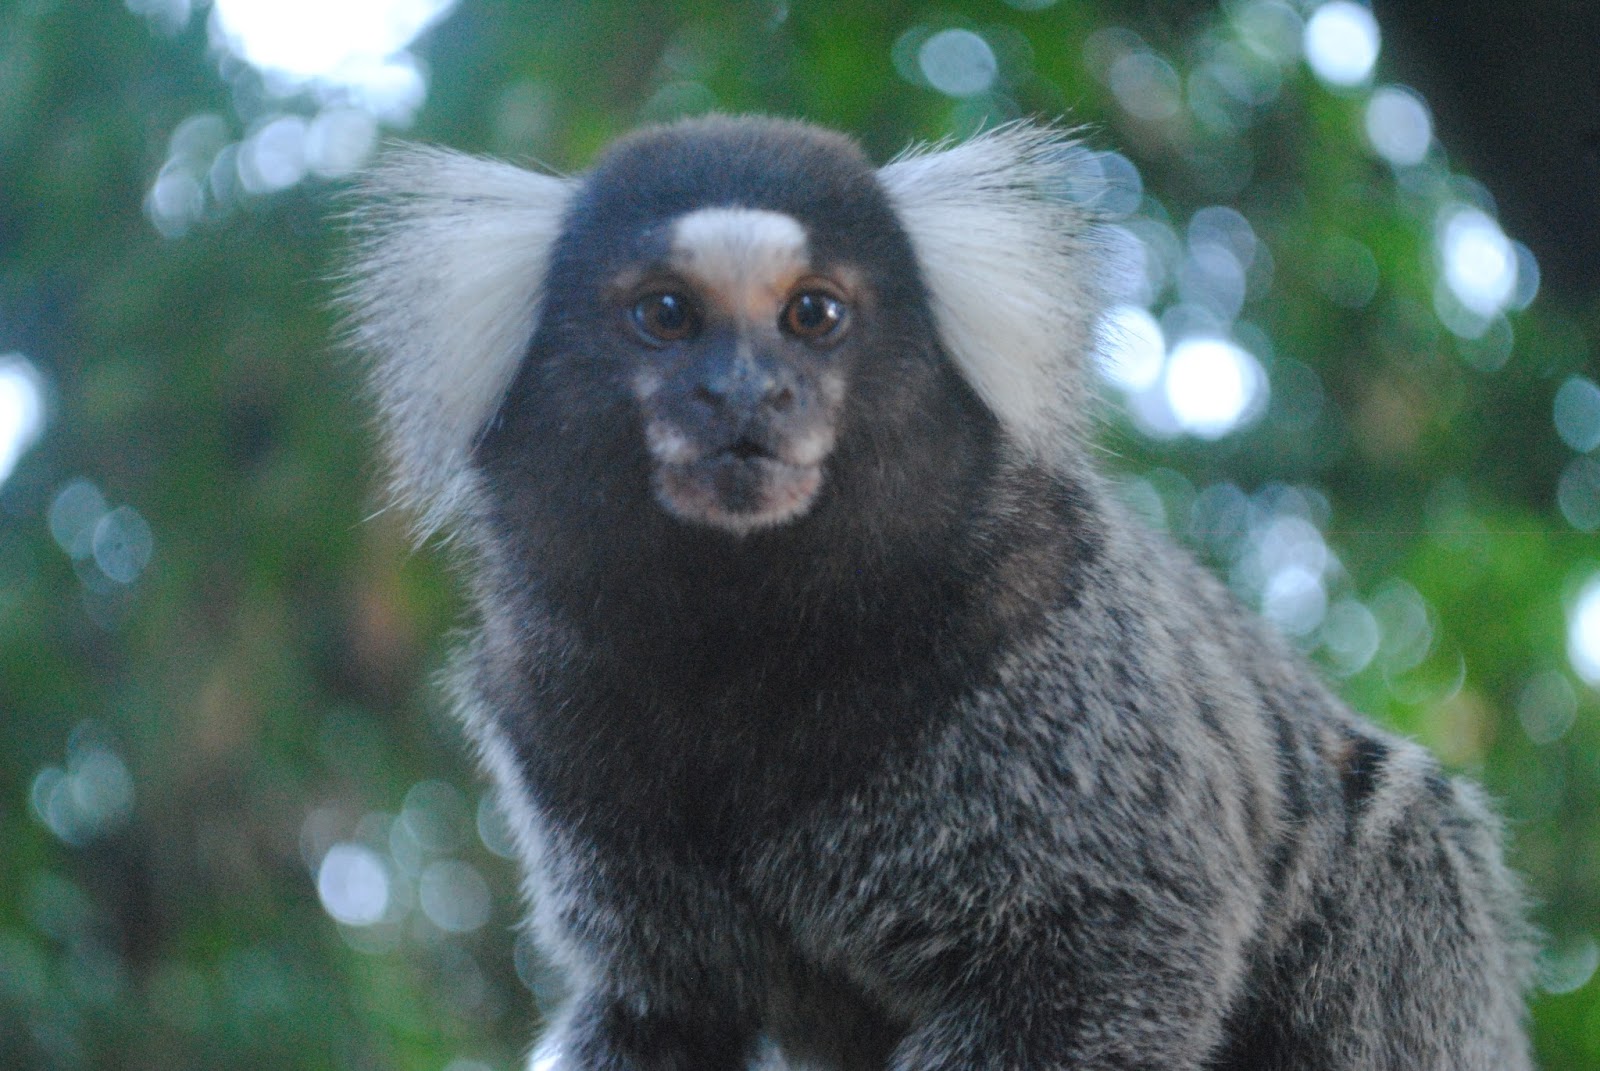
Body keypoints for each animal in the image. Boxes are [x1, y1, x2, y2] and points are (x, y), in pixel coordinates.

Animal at [342, 115, 1535, 1070]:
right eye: (667, 314)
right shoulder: (550, 718)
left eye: (813, 315)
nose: (742, 393)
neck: (742, 634)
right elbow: (663, 1008)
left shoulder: (1051, 665)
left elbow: (1109, 957)